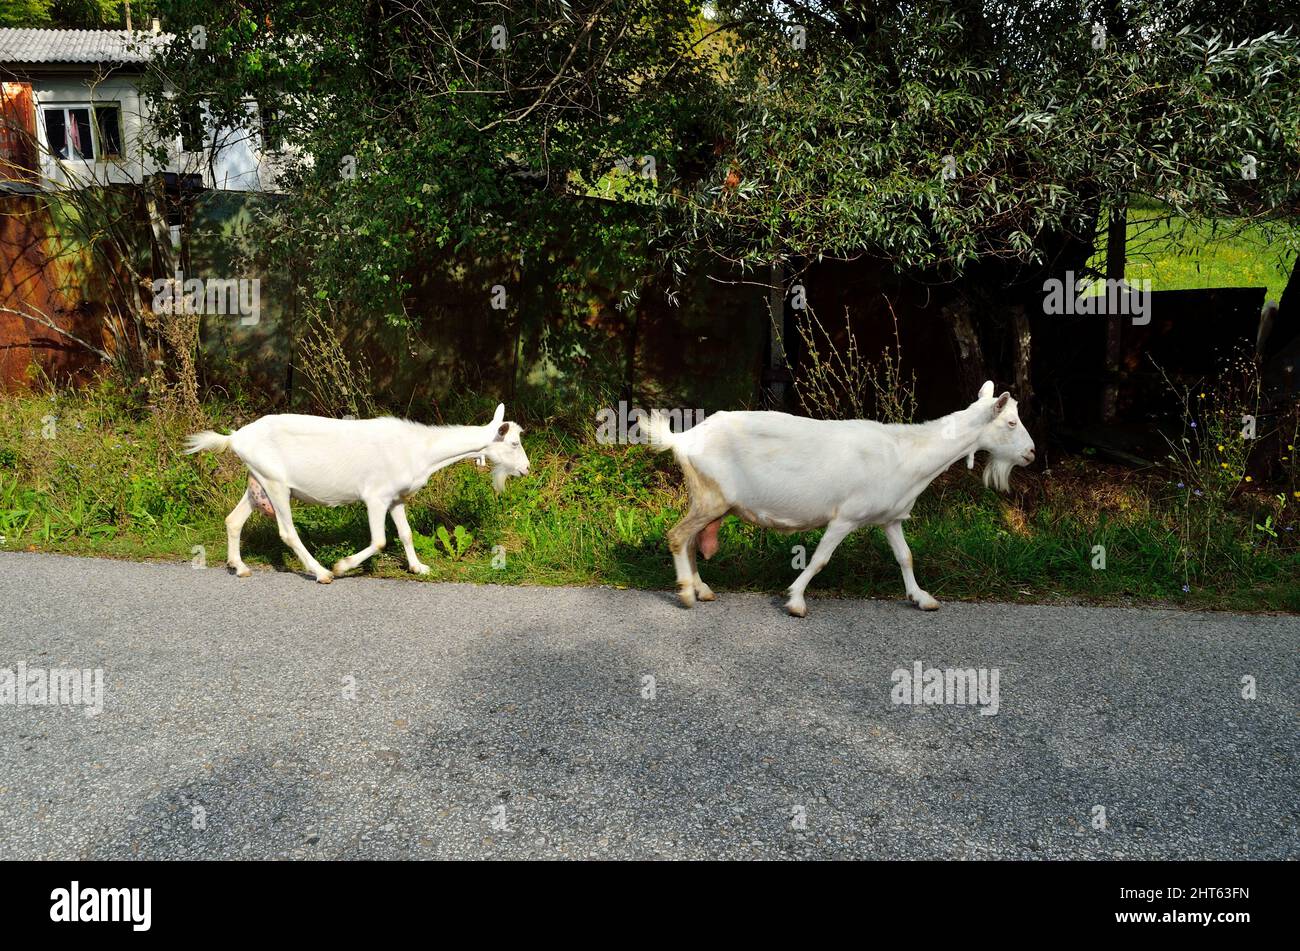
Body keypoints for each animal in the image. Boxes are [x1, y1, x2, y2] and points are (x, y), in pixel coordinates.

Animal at [184, 404, 529, 583]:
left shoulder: (397, 497)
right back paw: (322, 572)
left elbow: (405, 534)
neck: (421, 449)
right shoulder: (376, 496)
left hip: (258, 481)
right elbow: (380, 541)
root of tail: (235, 437)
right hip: (277, 483)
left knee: (234, 520)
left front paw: (418, 567)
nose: (526, 470)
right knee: (287, 531)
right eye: (514, 443)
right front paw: (342, 565)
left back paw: (239, 567)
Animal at [645, 381, 1035, 616]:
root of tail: (684, 439)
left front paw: (922, 598)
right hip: (712, 496)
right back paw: (686, 594)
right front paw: (796, 601)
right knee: (678, 537)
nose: (1031, 453)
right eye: (1011, 422)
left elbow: (905, 556)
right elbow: (820, 559)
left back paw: (701, 589)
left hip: (708, 501)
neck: (908, 454)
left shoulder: (890, 518)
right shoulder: (846, 516)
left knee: (691, 541)